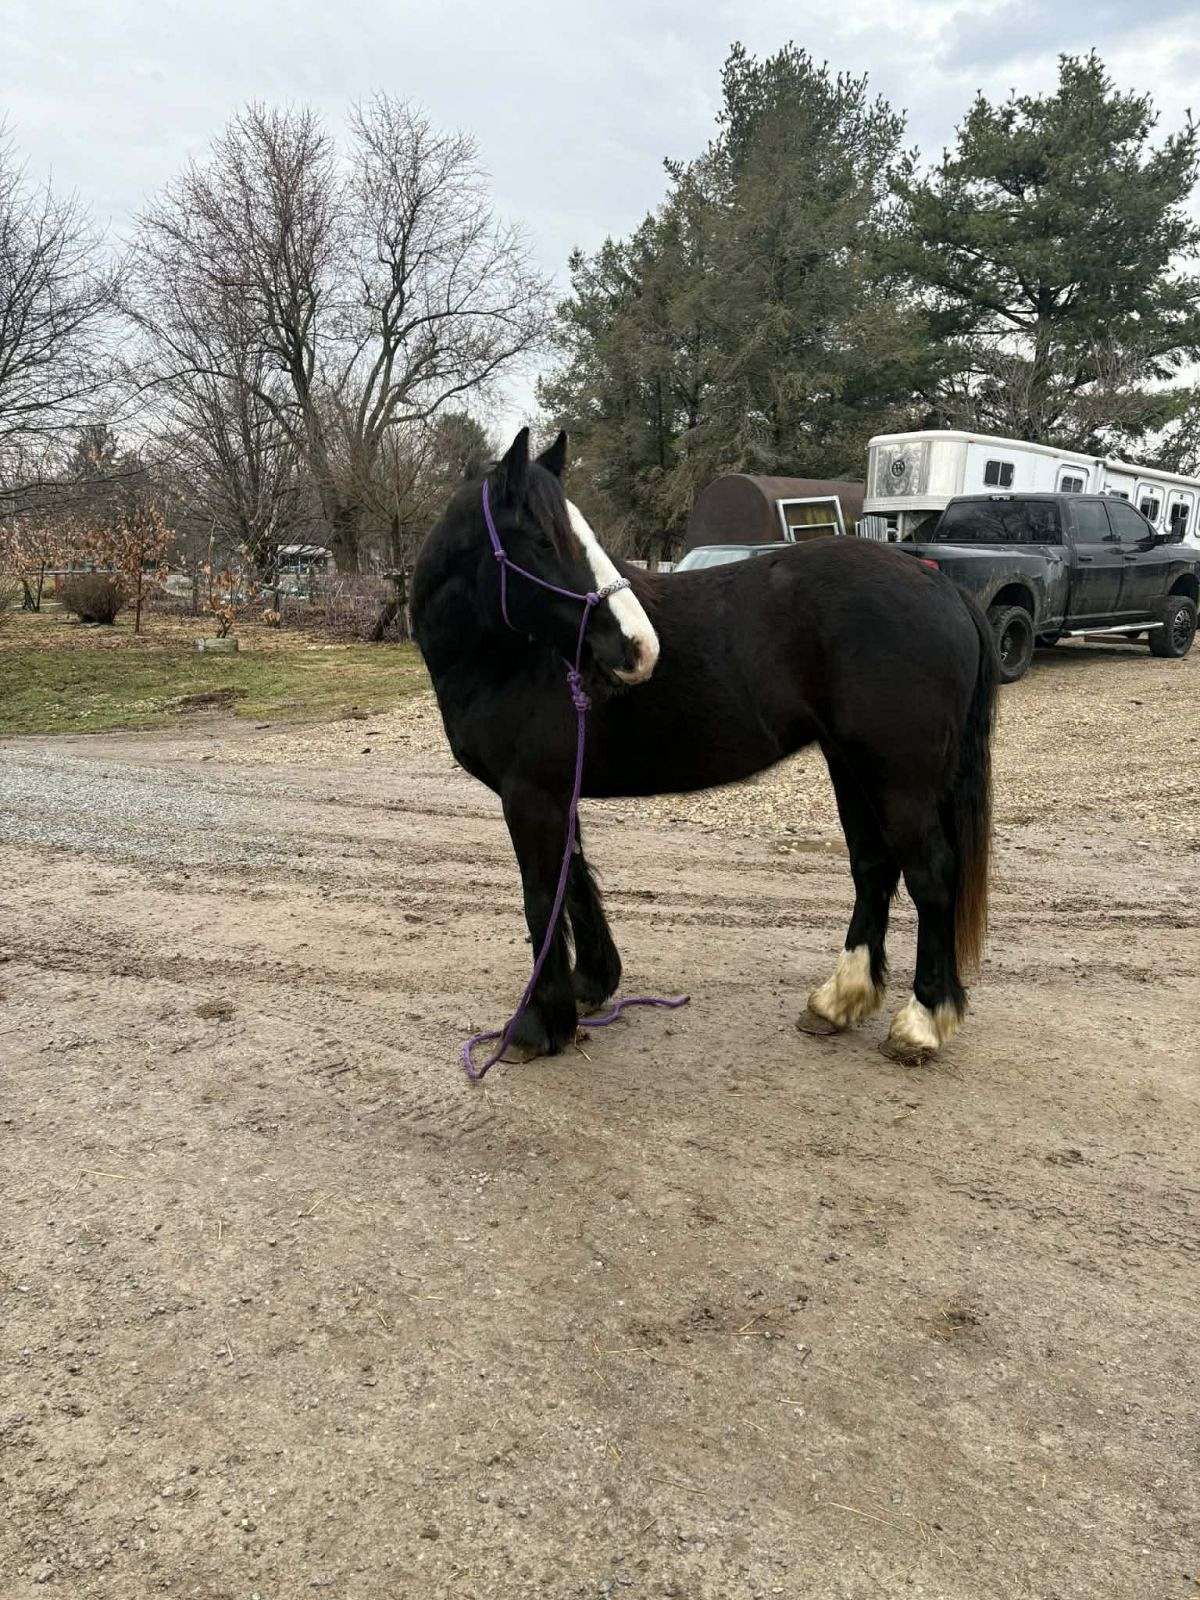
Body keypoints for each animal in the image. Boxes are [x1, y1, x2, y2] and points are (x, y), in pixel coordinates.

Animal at [412, 427, 998, 1070]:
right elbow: (577, 880)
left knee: (930, 875)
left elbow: (543, 896)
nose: (640, 648)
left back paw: (921, 1021)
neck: (505, 658)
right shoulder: (553, 794)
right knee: (873, 868)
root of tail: (941, 585)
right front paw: (592, 984)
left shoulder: (529, 796)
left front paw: (536, 1028)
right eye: (543, 539)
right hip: (852, 766)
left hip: (898, 777)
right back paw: (838, 1000)